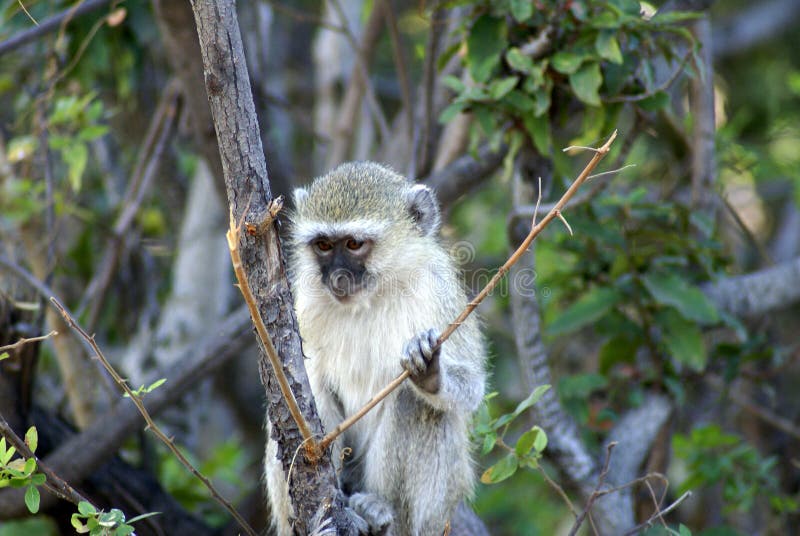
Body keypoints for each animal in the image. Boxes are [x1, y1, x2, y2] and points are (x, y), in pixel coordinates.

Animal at [265, 162, 487, 535]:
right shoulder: (304, 307)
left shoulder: (437, 291)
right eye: (323, 245)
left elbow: (472, 386)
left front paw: (431, 372)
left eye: (354, 244)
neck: (372, 296)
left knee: (416, 403)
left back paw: (382, 509)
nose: (337, 277)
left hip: (432, 514)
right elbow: (301, 393)